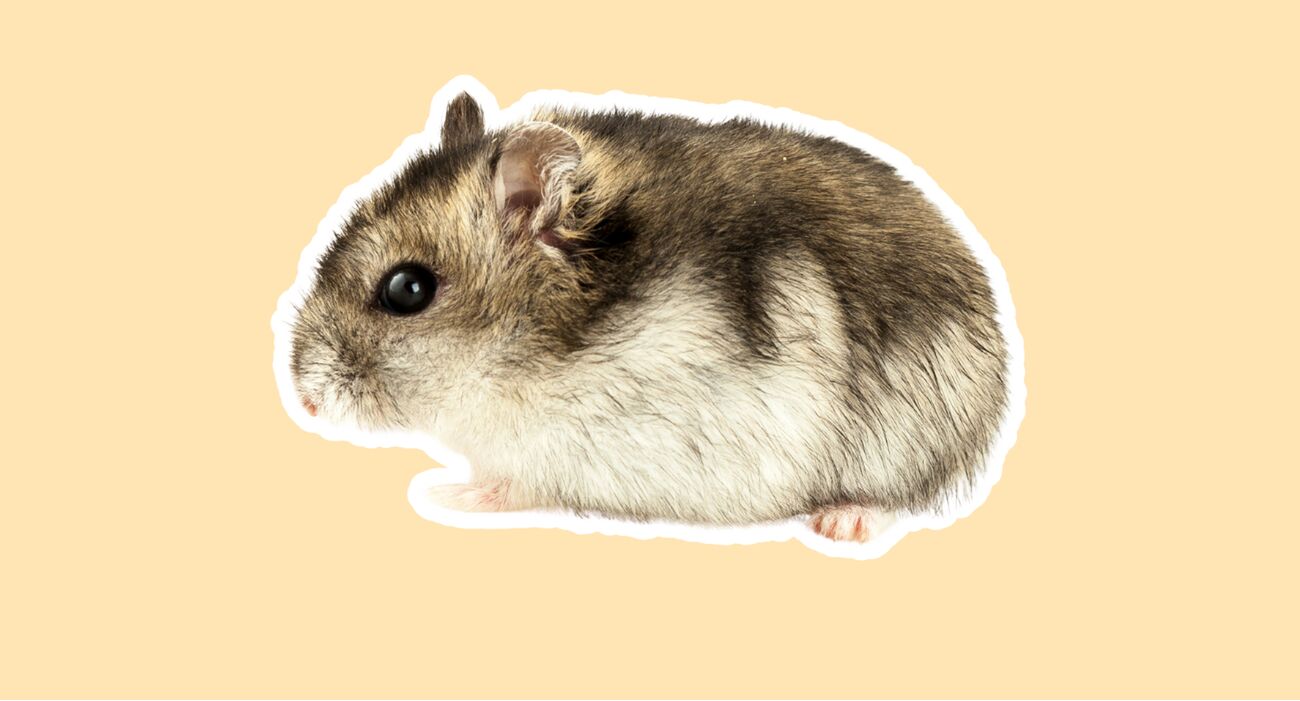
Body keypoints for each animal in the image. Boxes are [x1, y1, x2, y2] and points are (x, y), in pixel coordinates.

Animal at [288, 88, 1012, 545]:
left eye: (407, 289)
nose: (306, 401)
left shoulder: (582, 448)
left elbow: (516, 481)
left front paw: (443, 491)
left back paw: (844, 522)